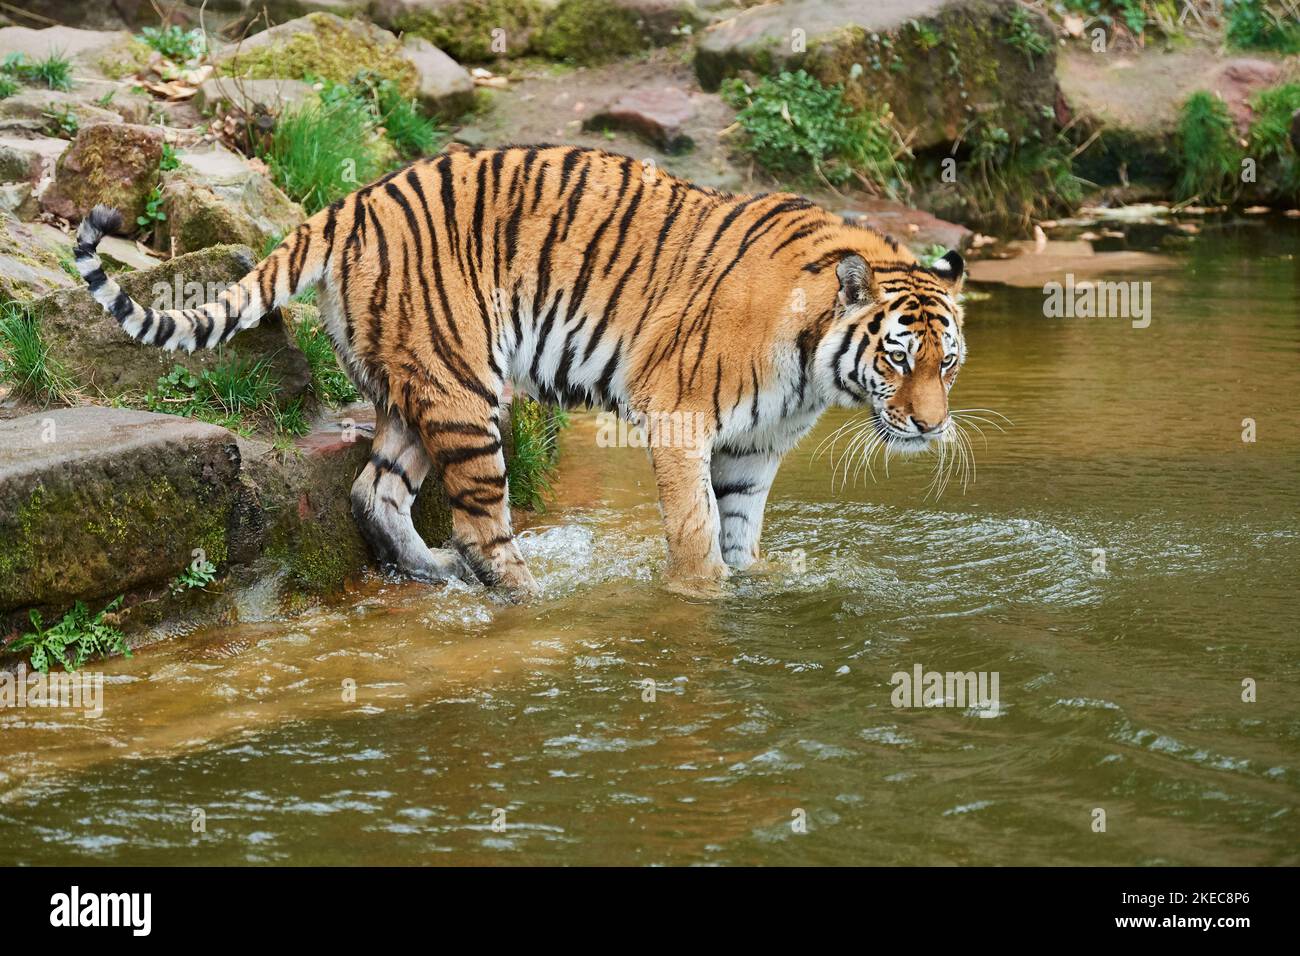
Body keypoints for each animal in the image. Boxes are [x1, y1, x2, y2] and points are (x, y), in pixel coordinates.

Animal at [73, 144, 967, 601]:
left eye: (947, 363)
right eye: (897, 358)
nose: (931, 425)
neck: (815, 369)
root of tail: (351, 201)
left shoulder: (753, 449)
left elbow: (740, 531)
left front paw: (752, 583)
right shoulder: (679, 418)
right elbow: (696, 531)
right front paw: (701, 594)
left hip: (420, 388)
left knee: (375, 492)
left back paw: (437, 573)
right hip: (466, 390)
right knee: (477, 525)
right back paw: (531, 598)